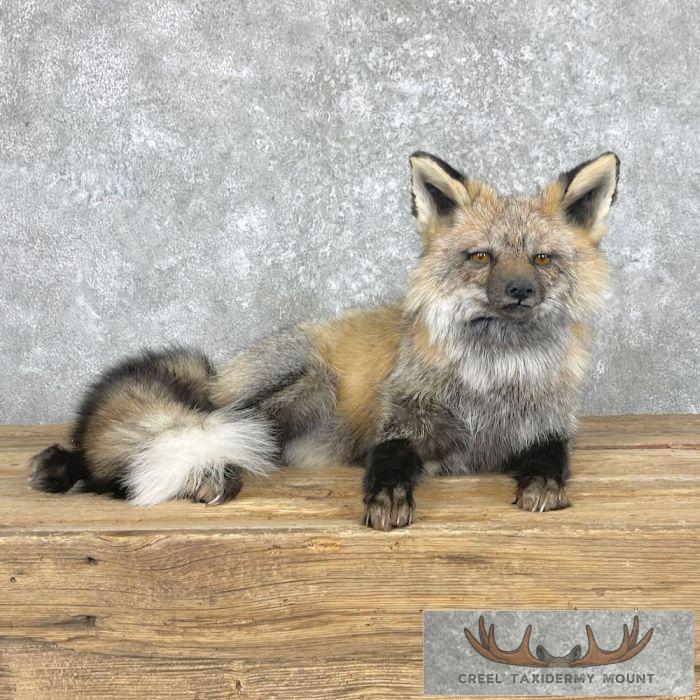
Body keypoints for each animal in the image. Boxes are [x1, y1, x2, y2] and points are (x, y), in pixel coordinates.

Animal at [29, 150, 619, 530]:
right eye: (481, 257)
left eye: (541, 258)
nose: (520, 290)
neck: (493, 381)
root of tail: (219, 373)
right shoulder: (402, 423)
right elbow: (390, 460)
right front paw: (388, 495)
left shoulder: (546, 426)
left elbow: (551, 459)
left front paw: (543, 486)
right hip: (307, 384)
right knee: (187, 438)